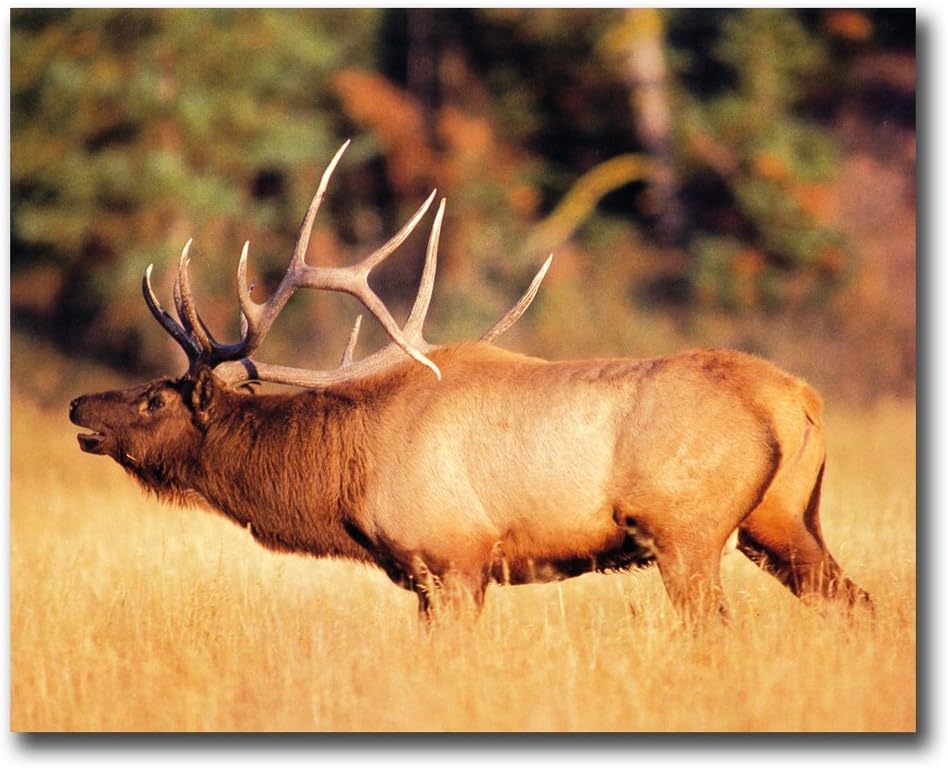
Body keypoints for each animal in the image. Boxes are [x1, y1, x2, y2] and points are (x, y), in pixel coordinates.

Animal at [69, 141, 871, 626]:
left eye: (154, 397)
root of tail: (800, 401)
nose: (80, 404)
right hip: (783, 520)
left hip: (689, 529)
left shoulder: (451, 557)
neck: (342, 479)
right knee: (857, 602)